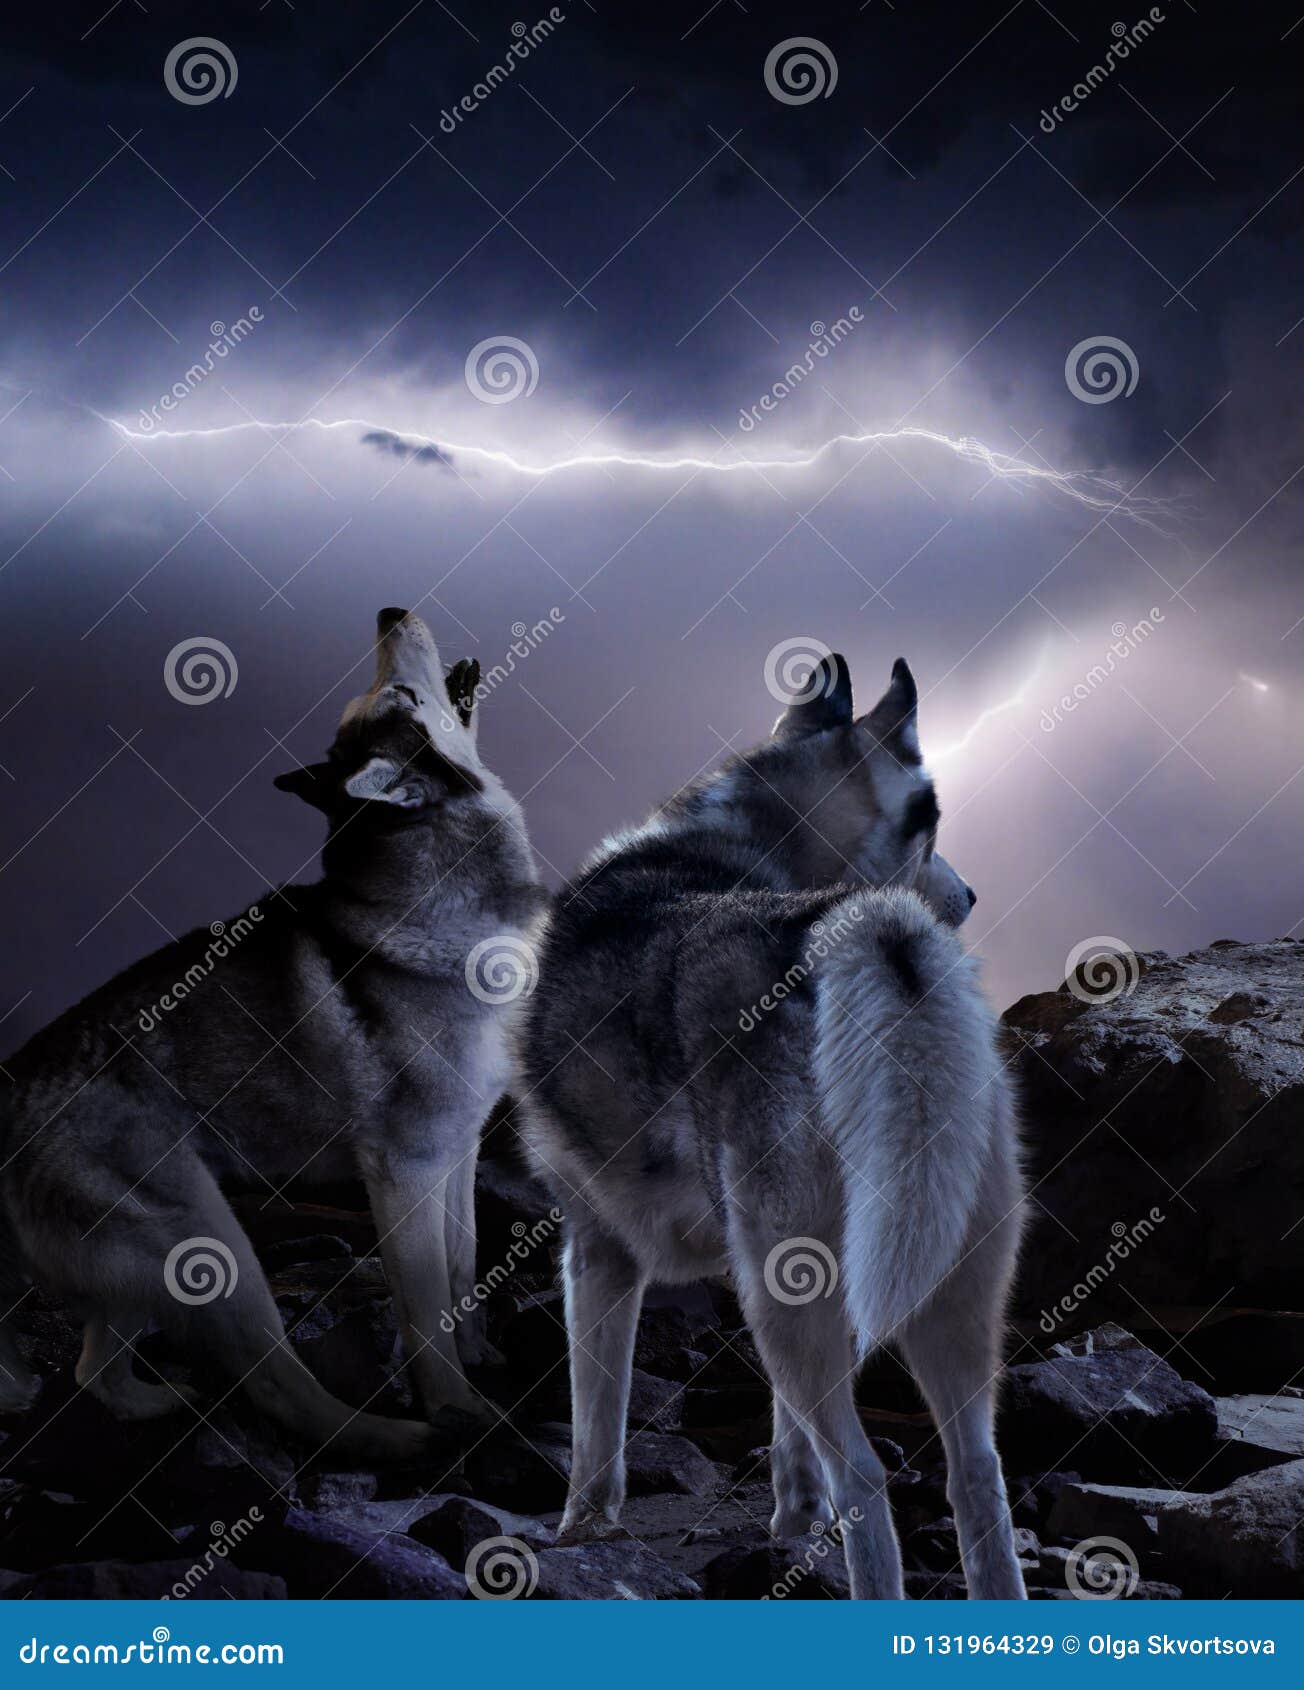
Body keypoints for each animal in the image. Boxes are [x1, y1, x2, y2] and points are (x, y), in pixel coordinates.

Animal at [0, 609, 542, 1460]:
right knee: (278, 1386)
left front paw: (479, 1351)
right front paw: (458, 1405)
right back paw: (392, 1436)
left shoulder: (457, 1150)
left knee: (95, 1372)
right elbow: (426, 1310)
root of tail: (10, 1090)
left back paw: (151, 1401)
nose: (389, 613)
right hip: (209, 1244)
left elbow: (462, 1270)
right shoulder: (407, 1170)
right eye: (401, 695)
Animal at [515, 652, 1026, 1599]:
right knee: (976, 1470)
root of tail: (849, 926)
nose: (972, 893)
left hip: (784, 1280)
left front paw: (581, 1530)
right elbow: (788, 1435)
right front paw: (792, 1521)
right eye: (932, 832)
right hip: (944, 1278)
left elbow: (596, 1422)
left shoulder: (596, 1245)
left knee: (863, 1473)